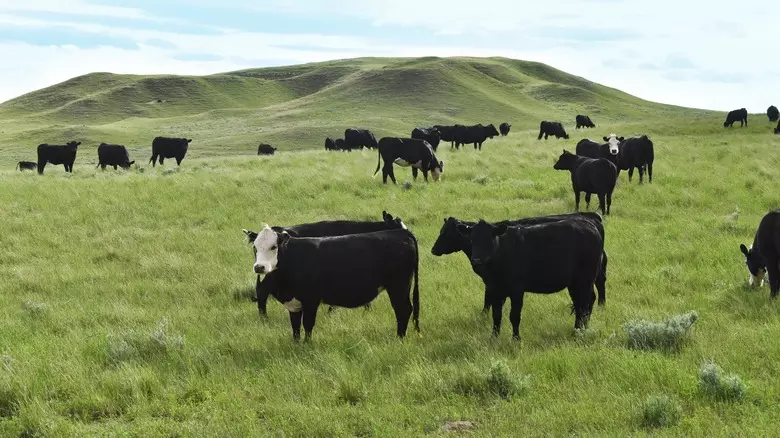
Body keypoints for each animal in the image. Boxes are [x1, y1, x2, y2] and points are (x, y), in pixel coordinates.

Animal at [250, 226, 420, 342]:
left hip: (399, 286)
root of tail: (400, 232)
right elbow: (295, 326)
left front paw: (307, 344)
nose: (259, 267)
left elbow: (308, 324)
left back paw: (399, 338)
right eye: (255, 247)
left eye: (274, 247)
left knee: (403, 310)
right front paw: (297, 344)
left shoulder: (311, 299)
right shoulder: (294, 302)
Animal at [430, 211, 608, 312]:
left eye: (445, 233)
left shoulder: (491, 282)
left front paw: (484, 315)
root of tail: (591, 218)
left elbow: (488, 299)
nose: (433, 250)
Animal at [458, 219, 604, 338]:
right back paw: (581, 329)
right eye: (471, 239)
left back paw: (578, 331)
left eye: (489, 240)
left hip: (585, 279)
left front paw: (516, 339)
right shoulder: (495, 289)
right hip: (575, 283)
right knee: (582, 303)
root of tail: (589, 224)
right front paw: (494, 337)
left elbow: (514, 316)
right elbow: (496, 315)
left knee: (584, 304)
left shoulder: (517, 290)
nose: (477, 260)